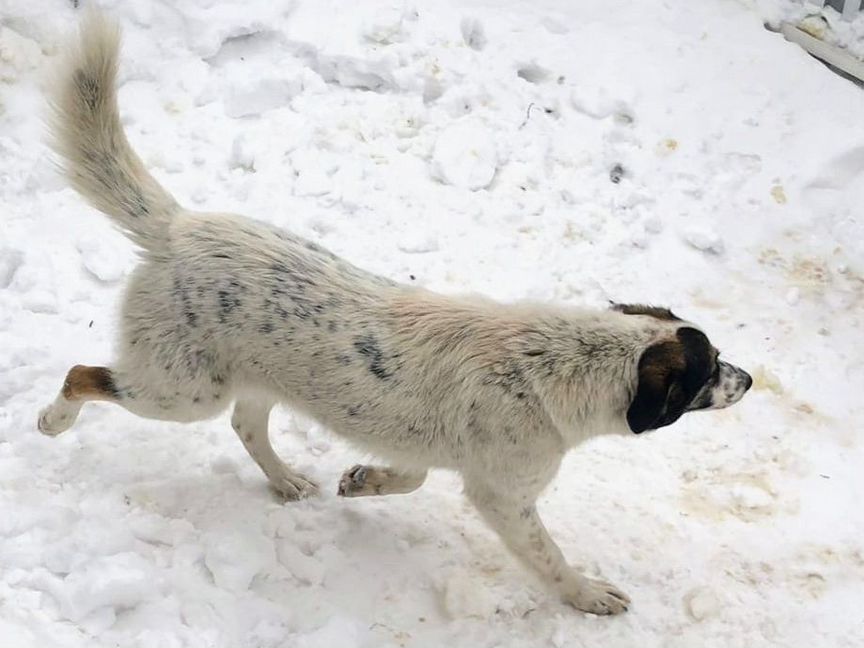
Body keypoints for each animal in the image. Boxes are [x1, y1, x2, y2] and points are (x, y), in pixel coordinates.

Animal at [38, 12, 748, 616]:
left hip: (251, 380)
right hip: (182, 391)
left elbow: (406, 478)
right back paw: (52, 421)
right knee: (83, 374)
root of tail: (177, 227)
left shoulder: (420, 445)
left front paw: (360, 482)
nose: (749, 380)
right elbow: (549, 559)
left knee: (245, 425)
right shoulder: (504, 497)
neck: (559, 363)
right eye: (708, 371)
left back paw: (287, 483)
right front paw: (589, 596)